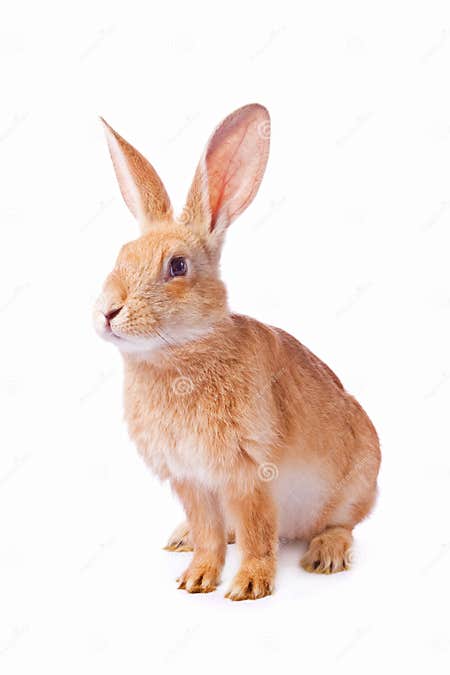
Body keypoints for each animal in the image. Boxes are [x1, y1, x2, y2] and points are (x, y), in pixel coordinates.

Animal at [93, 104, 381, 601]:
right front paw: (196, 578)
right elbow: (209, 532)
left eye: (177, 266)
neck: (180, 353)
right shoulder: (190, 478)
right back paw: (181, 539)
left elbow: (256, 531)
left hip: (354, 482)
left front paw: (248, 585)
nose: (109, 312)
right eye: (122, 255)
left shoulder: (247, 472)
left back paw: (326, 554)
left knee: (343, 523)